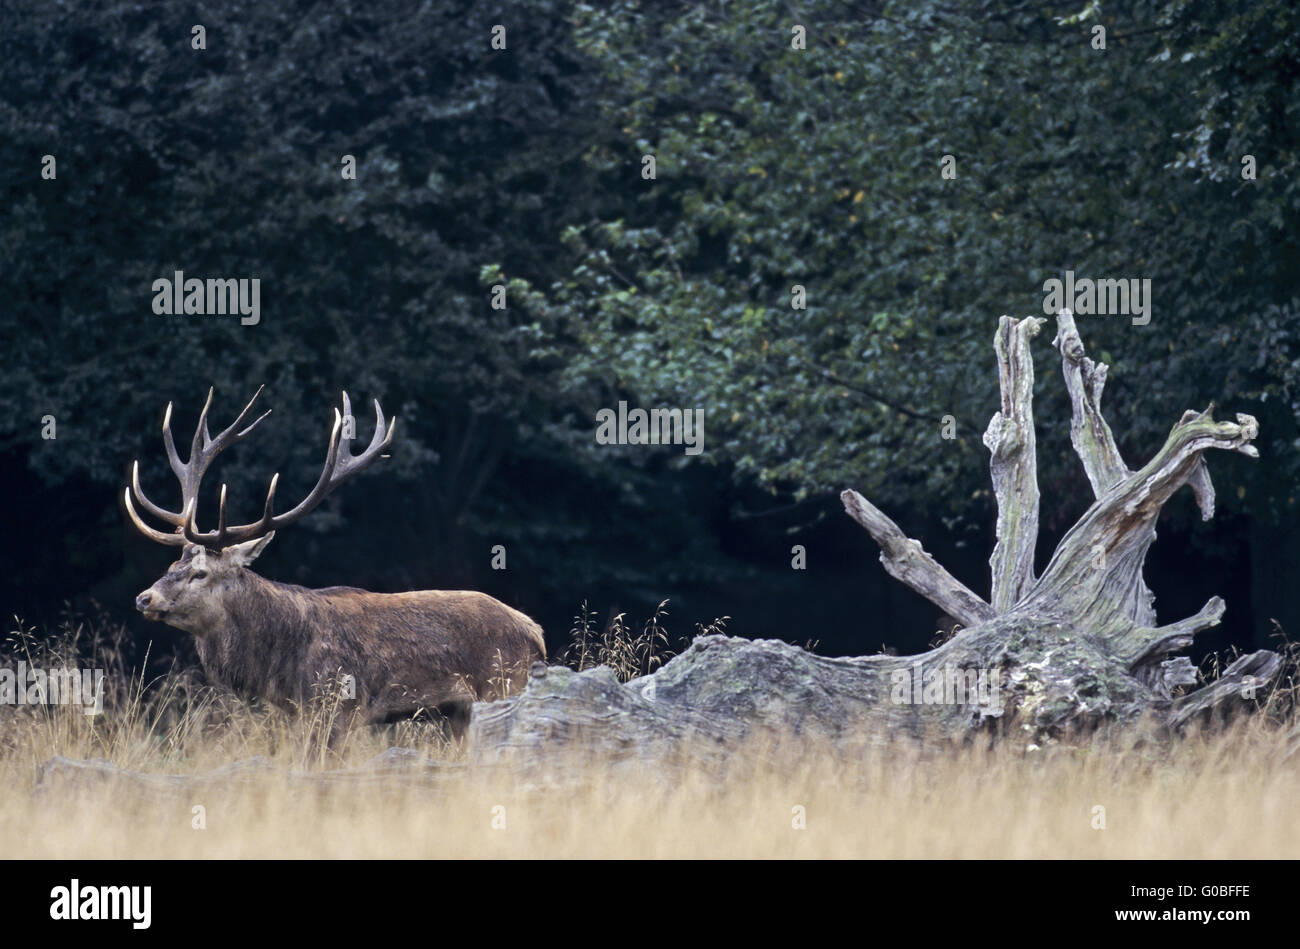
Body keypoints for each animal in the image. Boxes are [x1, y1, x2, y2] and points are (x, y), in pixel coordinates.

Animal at [124, 386, 545, 740]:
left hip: (501, 685)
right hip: (460, 711)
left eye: (200, 573)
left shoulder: (340, 707)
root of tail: (534, 631)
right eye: (170, 568)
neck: (281, 665)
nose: (144, 598)